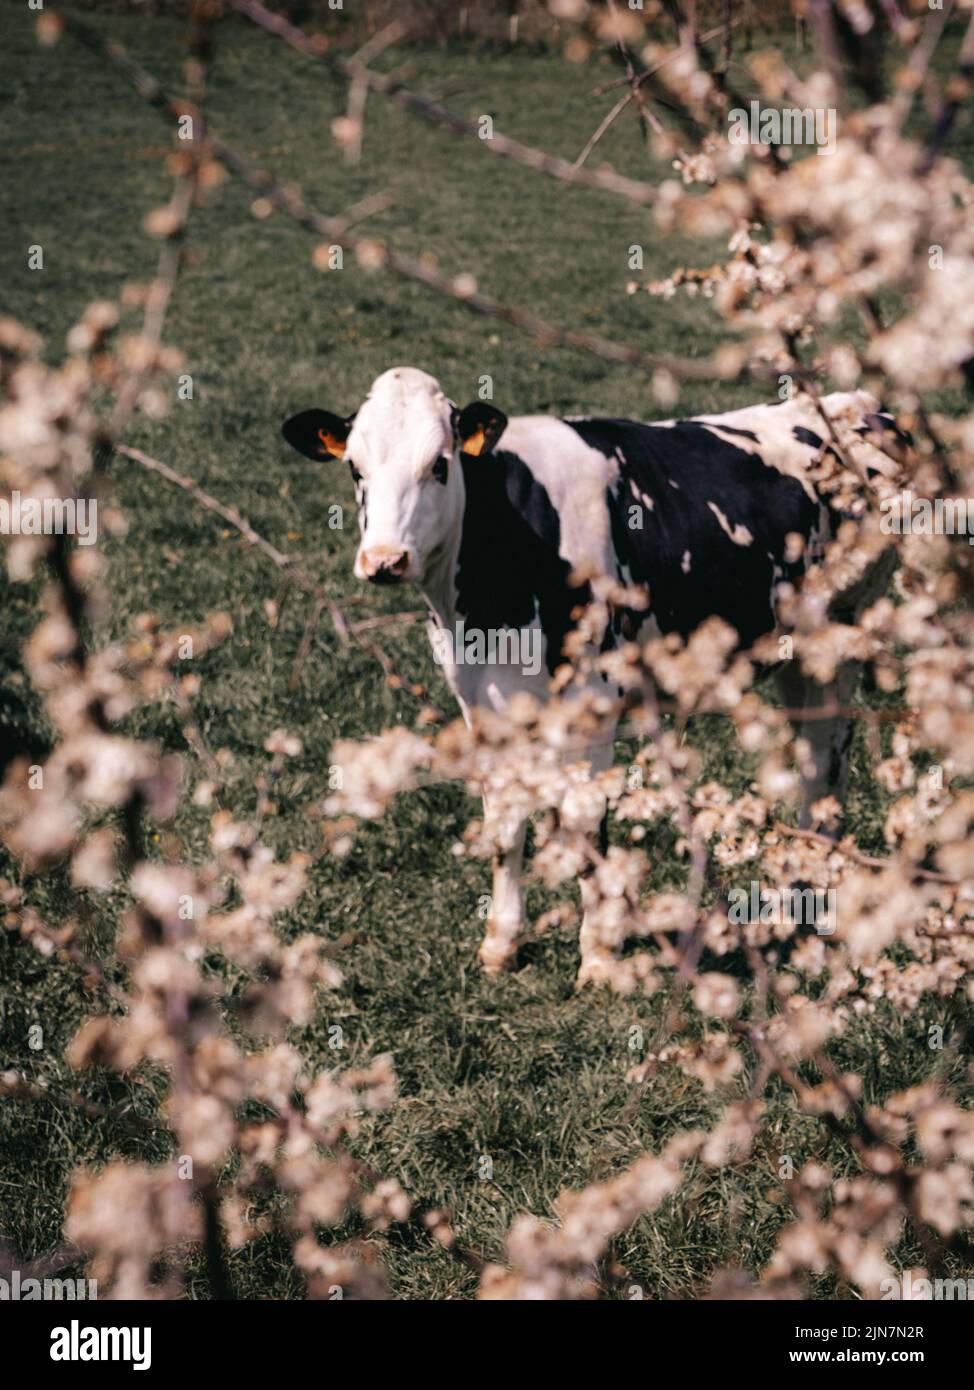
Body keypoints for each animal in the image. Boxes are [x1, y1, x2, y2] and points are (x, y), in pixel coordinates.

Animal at [281, 367, 898, 980]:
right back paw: (798, 891)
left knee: (829, 758)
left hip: (844, 633)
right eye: (355, 467)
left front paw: (600, 955)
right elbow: (503, 829)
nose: (384, 560)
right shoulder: (481, 705)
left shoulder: (591, 708)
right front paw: (501, 944)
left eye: (439, 464)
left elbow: (585, 831)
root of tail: (859, 404)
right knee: (810, 756)